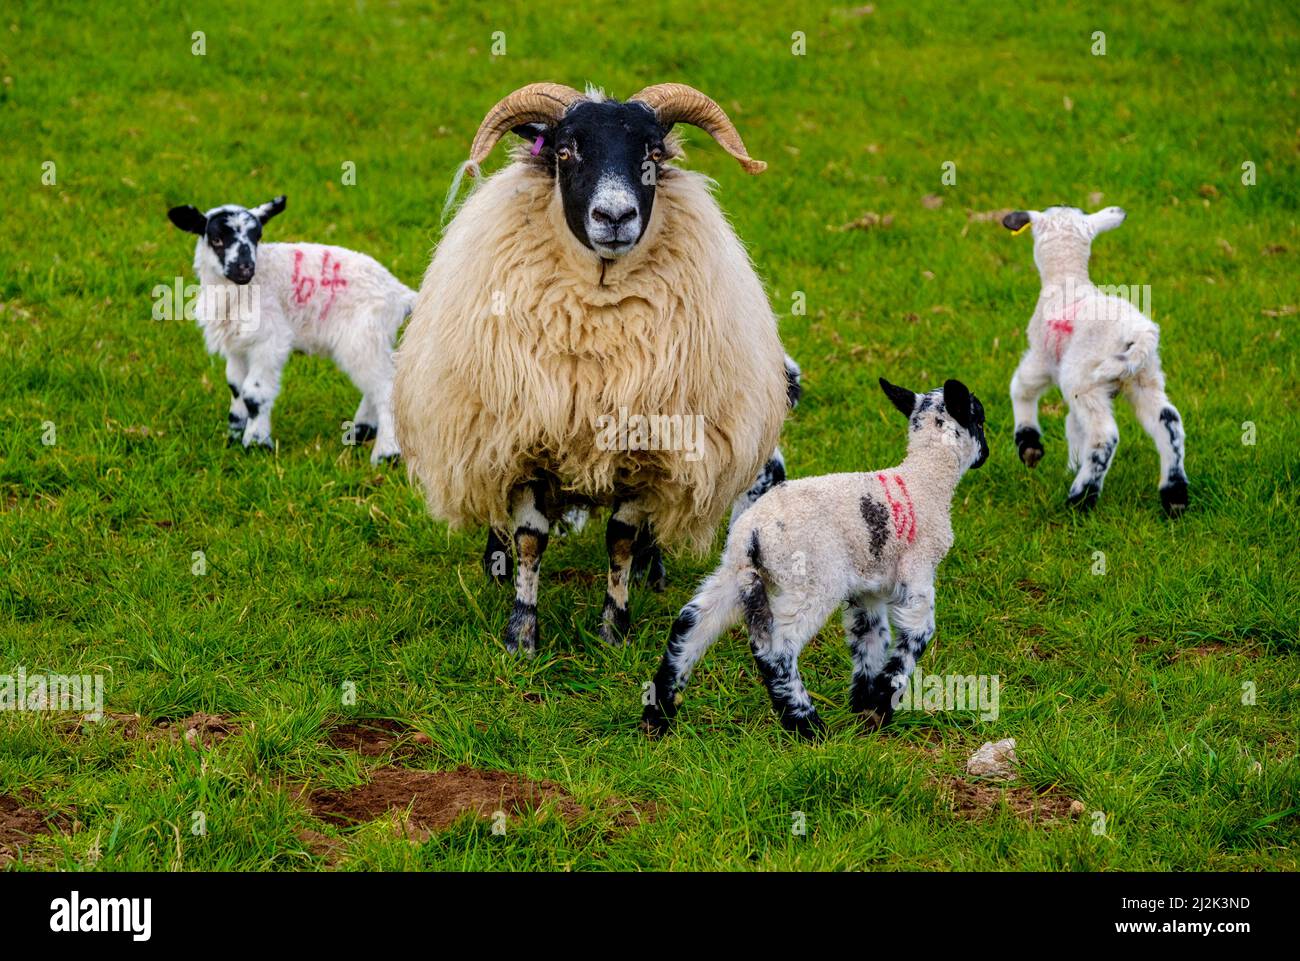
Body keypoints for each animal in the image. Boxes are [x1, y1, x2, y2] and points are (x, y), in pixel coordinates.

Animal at [167, 196, 414, 464]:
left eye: (257, 236)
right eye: (217, 239)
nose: (245, 269)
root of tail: (399, 293)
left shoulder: (270, 338)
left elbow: (254, 394)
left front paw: (256, 444)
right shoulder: (236, 346)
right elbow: (236, 388)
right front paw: (233, 437)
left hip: (364, 334)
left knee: (385, 386)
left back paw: (387, 453)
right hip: (370, 338)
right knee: (377, 381)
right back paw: (361, 431)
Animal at [393, 82, 791, 652]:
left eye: (653, 154)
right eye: (564, 152)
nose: (615, 217)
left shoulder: (645, 453)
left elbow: (620, 540)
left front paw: (613, 628)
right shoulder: (527, 439)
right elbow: (530, 539)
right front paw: (521, 633)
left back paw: (653, 567)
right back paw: (495, 564)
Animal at [641, 377, 988, 738]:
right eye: (980, 419)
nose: (985, 456)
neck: (925, 480)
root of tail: (752, 535)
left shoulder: (868, 587)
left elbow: (870, 638)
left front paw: (864, 708)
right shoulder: (918, 569)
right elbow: (916, 635)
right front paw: (880, 705)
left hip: (735, 573)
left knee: (691, 623)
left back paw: (658, 714)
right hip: (813, 579)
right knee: (777, 647)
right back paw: (806, 724)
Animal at [1002, 205, 1188, 515]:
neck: (1066, 279)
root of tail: (1138, 332)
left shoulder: (1043, 359)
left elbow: (1021, 388)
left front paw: (1029, 446)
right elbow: (1073, 426)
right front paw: (1072, 463)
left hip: (1084, 377)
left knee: (1105, 436)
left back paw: (1081, 498)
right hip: (1144, 375)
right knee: (1168, 420)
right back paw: (1175, 496)